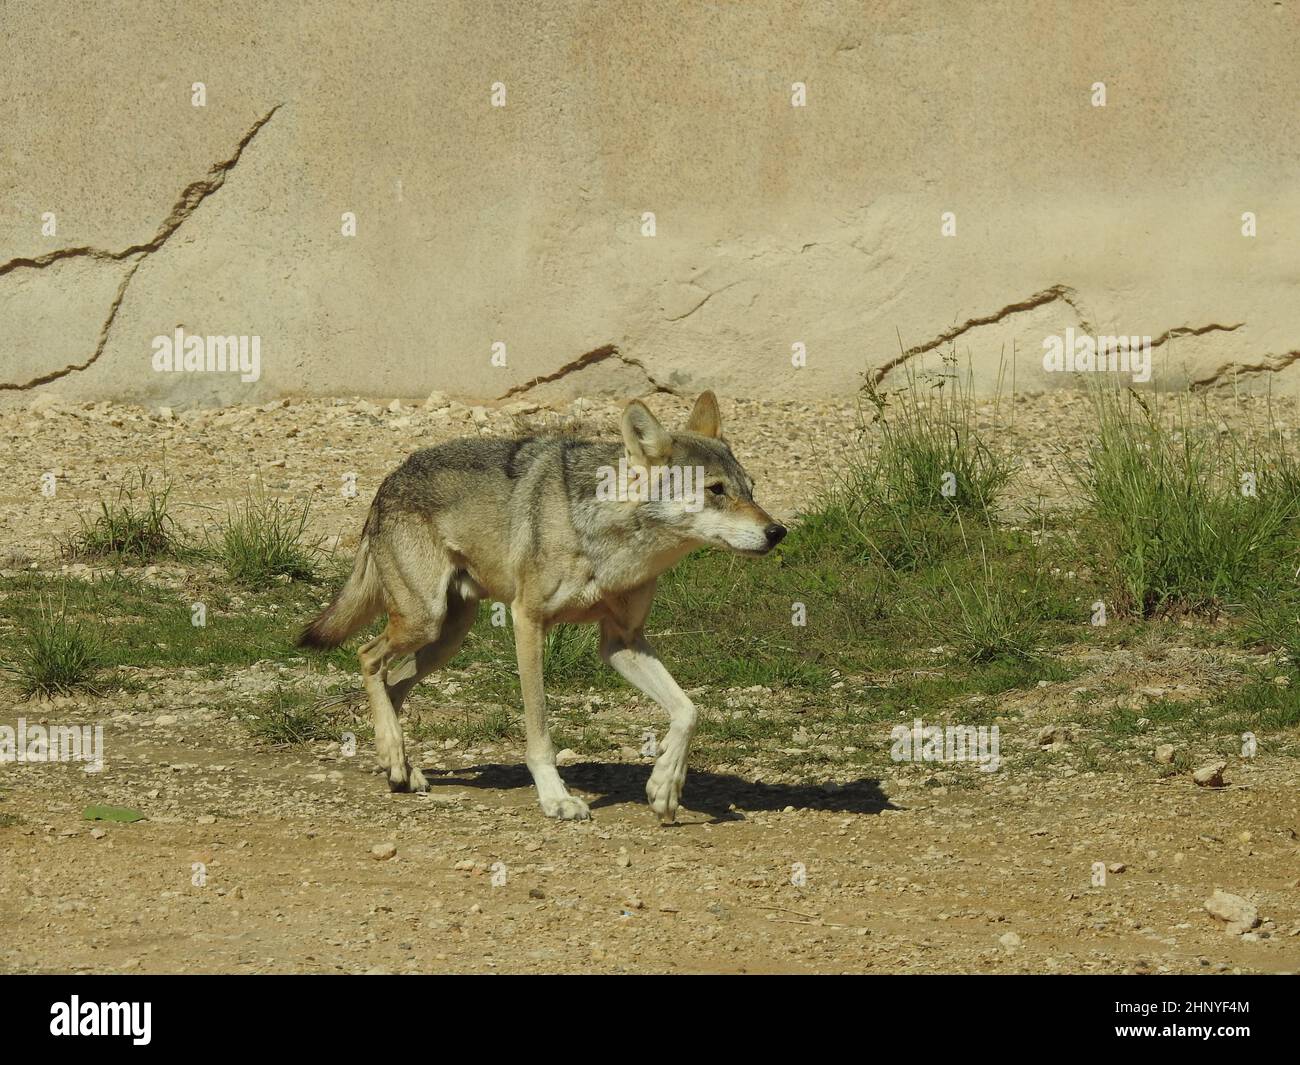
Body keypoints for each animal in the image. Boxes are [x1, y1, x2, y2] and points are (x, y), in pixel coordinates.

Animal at [298, 391, 785, 822]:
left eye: (751, 489)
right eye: (716, 490)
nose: (778, 531)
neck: (608, 541)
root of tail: (390, 478)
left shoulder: (621, 642)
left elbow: (688, 710)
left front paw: (665, 784)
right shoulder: (527, 621)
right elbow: (540, 732)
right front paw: (556, 799)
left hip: (446, 638)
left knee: (393, 684)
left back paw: (398, 765)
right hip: (424, 622)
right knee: (367, 657)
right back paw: (395, 758)